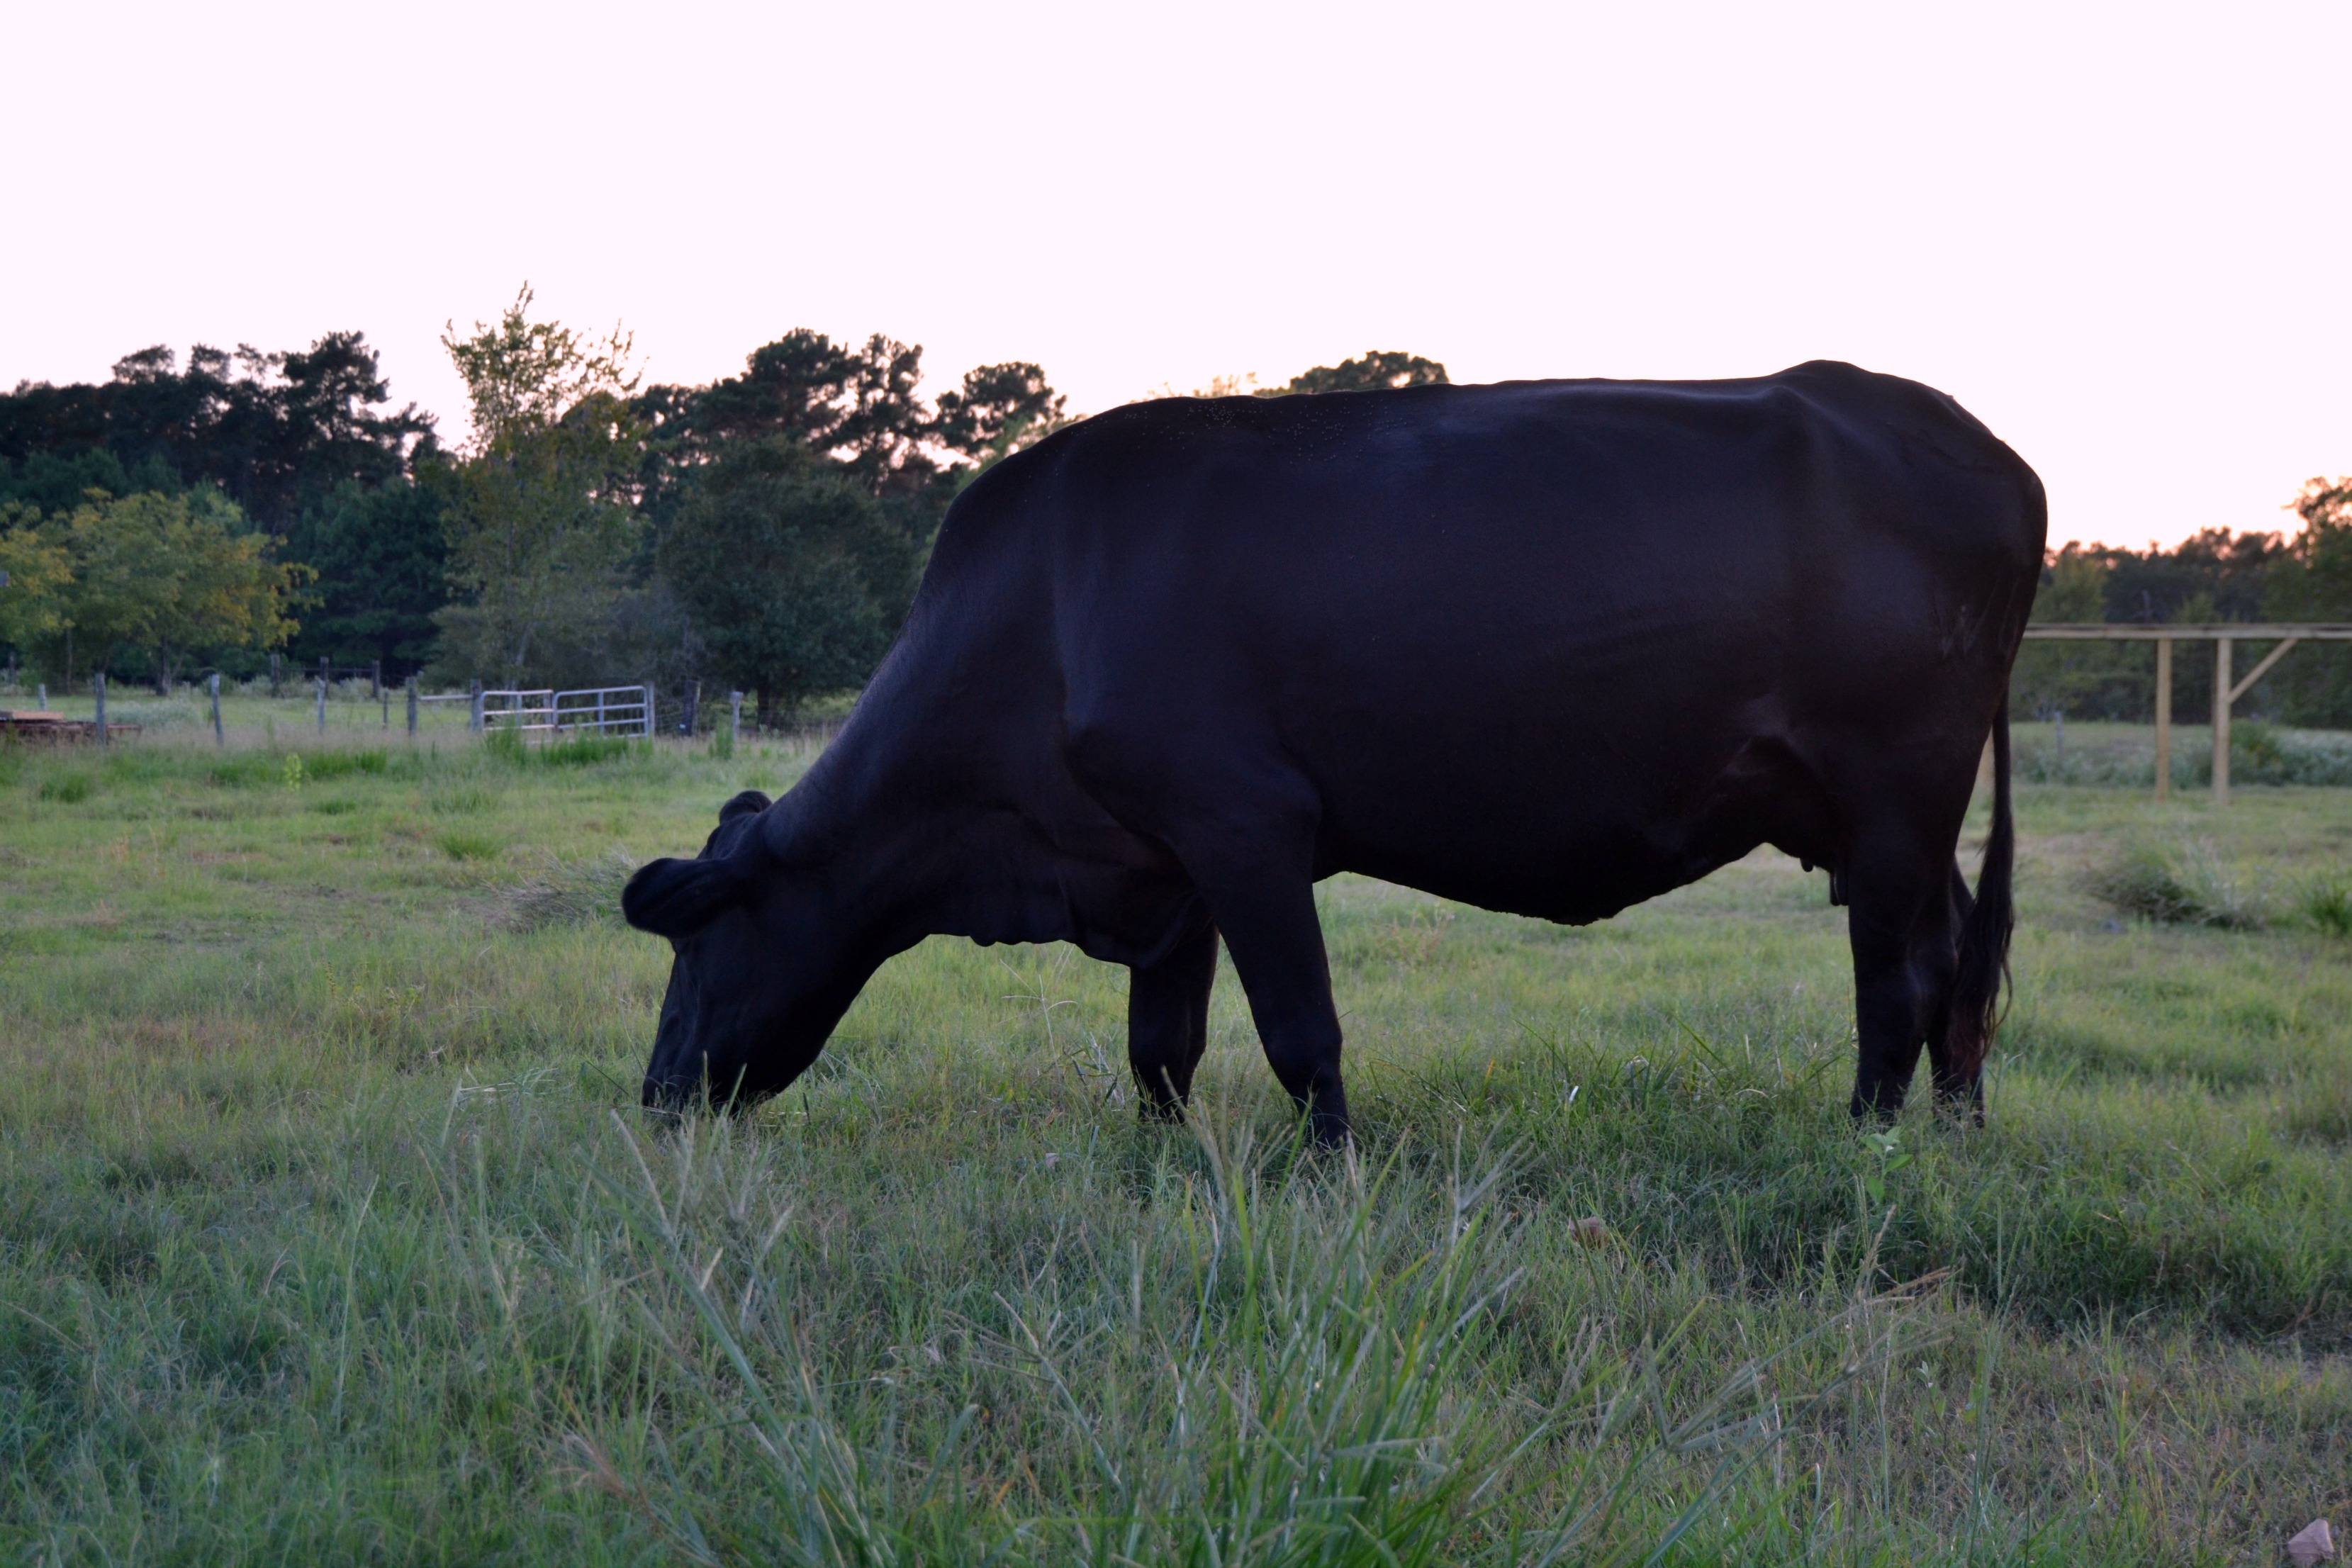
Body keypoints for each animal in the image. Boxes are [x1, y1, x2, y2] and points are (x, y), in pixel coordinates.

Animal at [623, 360, 2045, 1141]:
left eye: (695, 944)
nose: (654, 1095)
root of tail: (1977, 442)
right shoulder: (1161, 854)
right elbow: (1160, 1047)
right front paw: (1159, 1170)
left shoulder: (1243, 822)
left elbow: (1301, 1032)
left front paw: (1332, 1179)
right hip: (1875, 814)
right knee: (1953, 970)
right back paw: (1955, 1140)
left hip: (1894, 783)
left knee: (1898, 984)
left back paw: (1864, 1147)